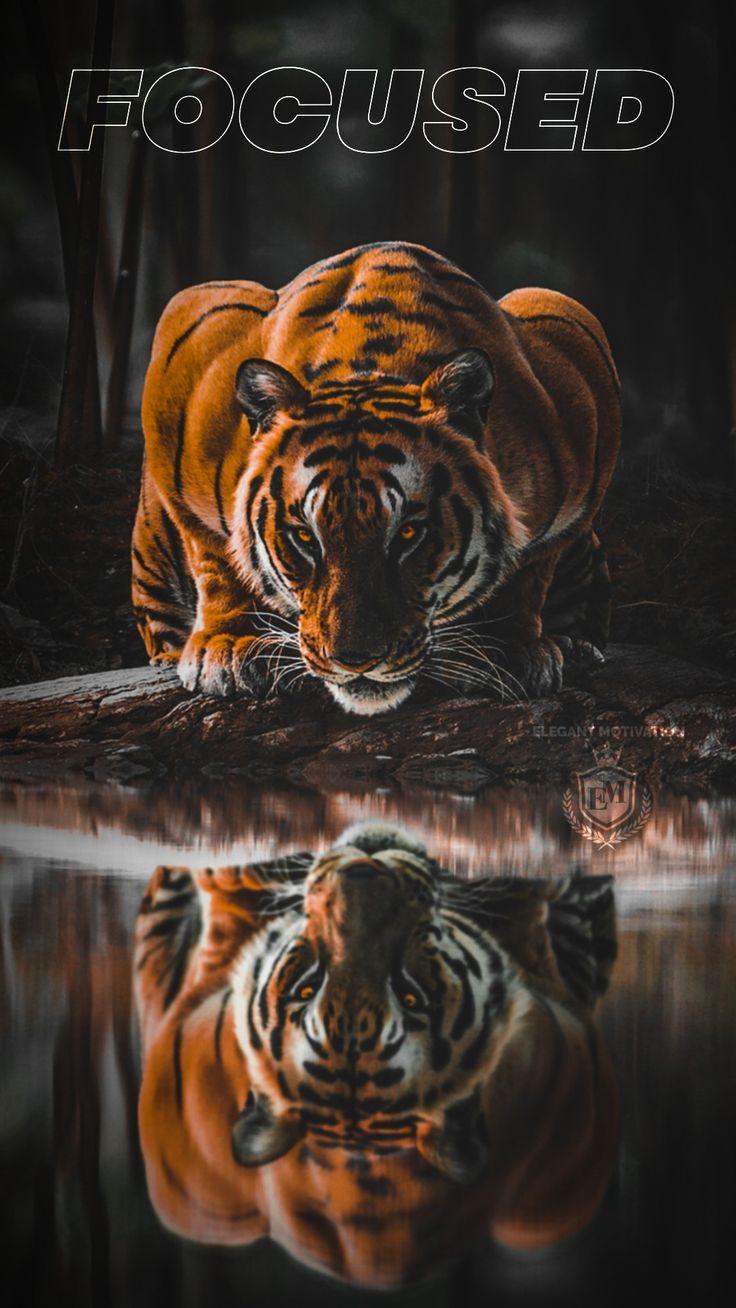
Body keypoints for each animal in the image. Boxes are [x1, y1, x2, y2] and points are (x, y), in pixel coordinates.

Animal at [132, 240, 620, 715]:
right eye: (304, 537)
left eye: (408, 533)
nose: (355, 661)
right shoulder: (193, 332)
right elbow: (216, 554)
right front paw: (233, 646)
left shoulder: (576, 354)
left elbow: (530, 568)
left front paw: (505, 647)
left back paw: (577, 646)